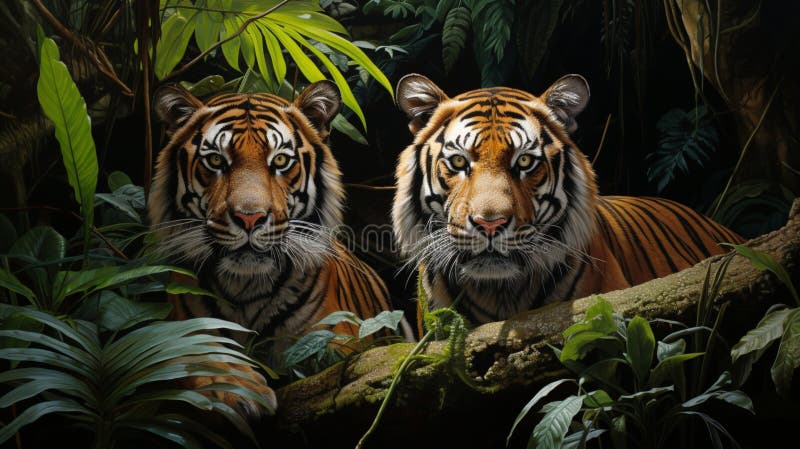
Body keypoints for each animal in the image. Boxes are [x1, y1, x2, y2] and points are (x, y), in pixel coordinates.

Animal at [148, 80, 399, 417]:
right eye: (215, 161)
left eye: (280, 161)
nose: (249, 217)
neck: (244, 285)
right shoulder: (182, 328)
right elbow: (194, 354)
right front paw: (238, 388)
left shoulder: (331, 334)